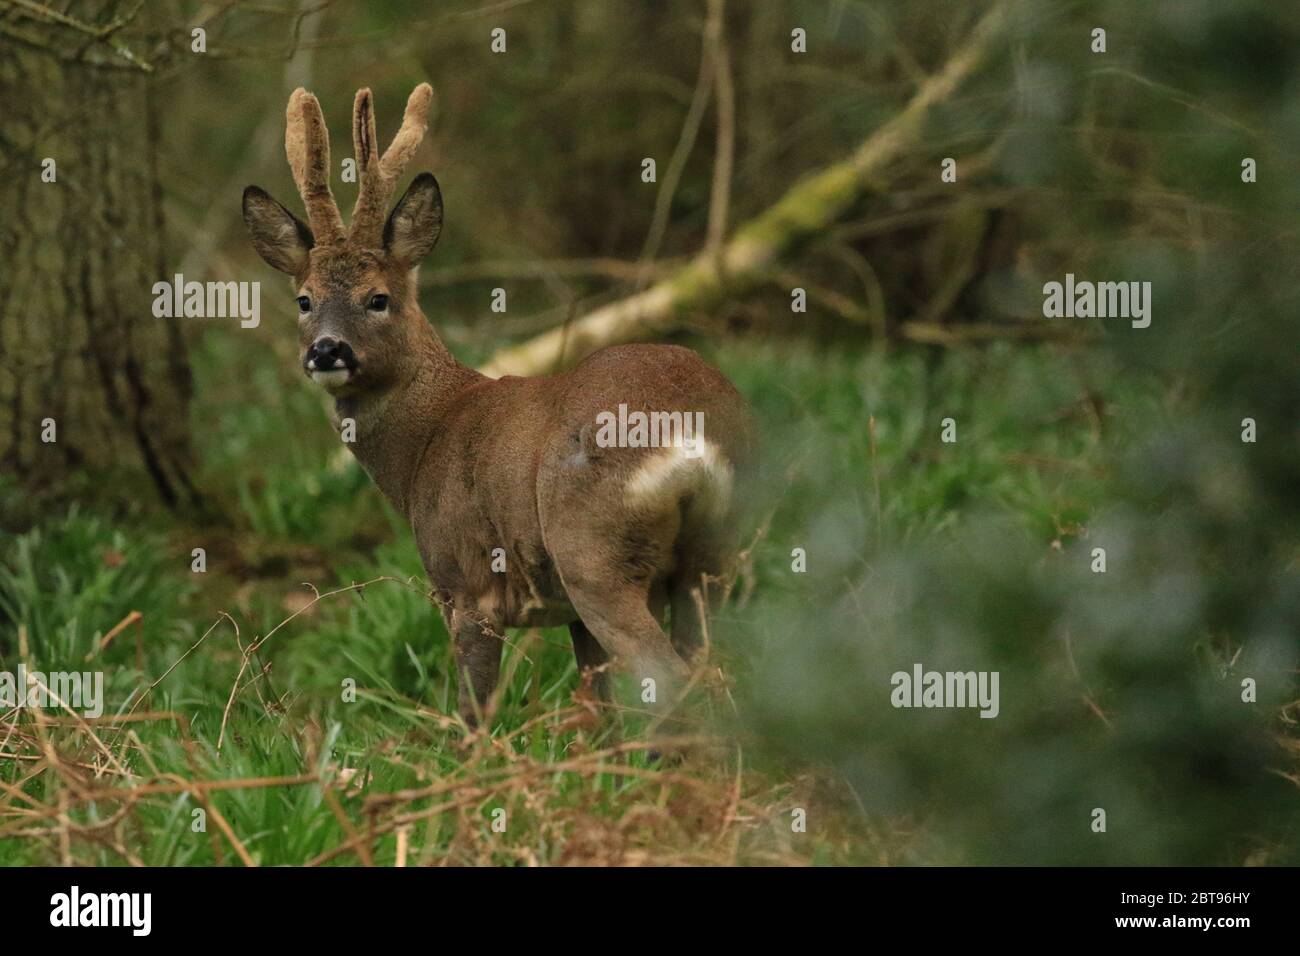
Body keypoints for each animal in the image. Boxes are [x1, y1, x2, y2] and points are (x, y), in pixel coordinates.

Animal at [241, 84, 754, 731]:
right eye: (304, 300)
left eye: (377, 298)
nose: (326, 350)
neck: (424, 441)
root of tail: (691, 436)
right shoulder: (566, 613)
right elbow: (597, 705)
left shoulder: (466, 585)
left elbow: (474, 713)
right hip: (713, 558)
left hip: (593, 555)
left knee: (672, 679)